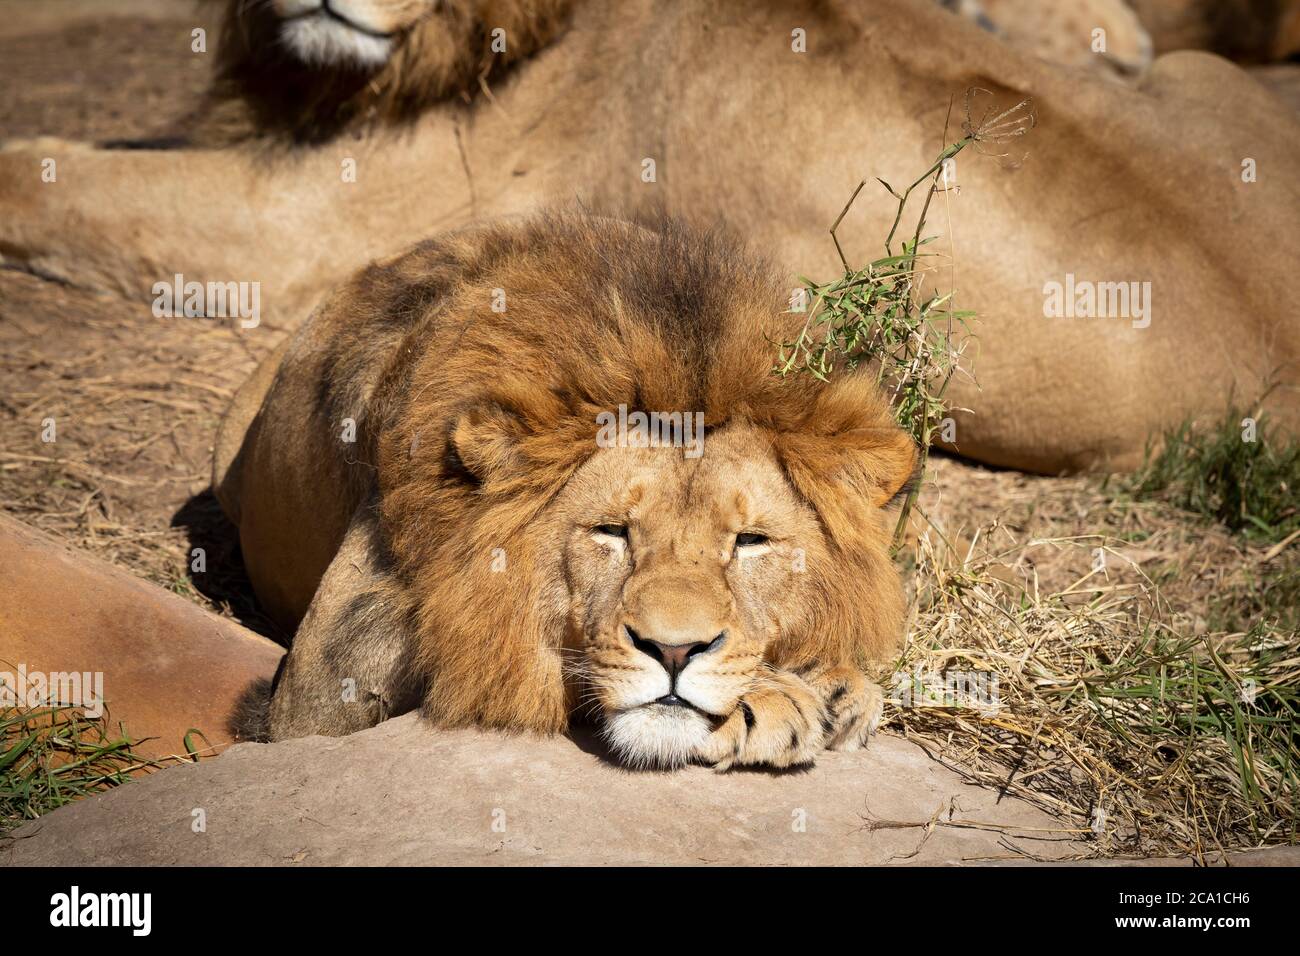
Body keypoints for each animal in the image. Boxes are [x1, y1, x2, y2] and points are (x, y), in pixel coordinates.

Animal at [212, 212, 917, 769]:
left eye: (749, 542)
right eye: (611, 532)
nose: (674, 650)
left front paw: (837, 683)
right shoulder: (314, 696)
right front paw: (777, 700)